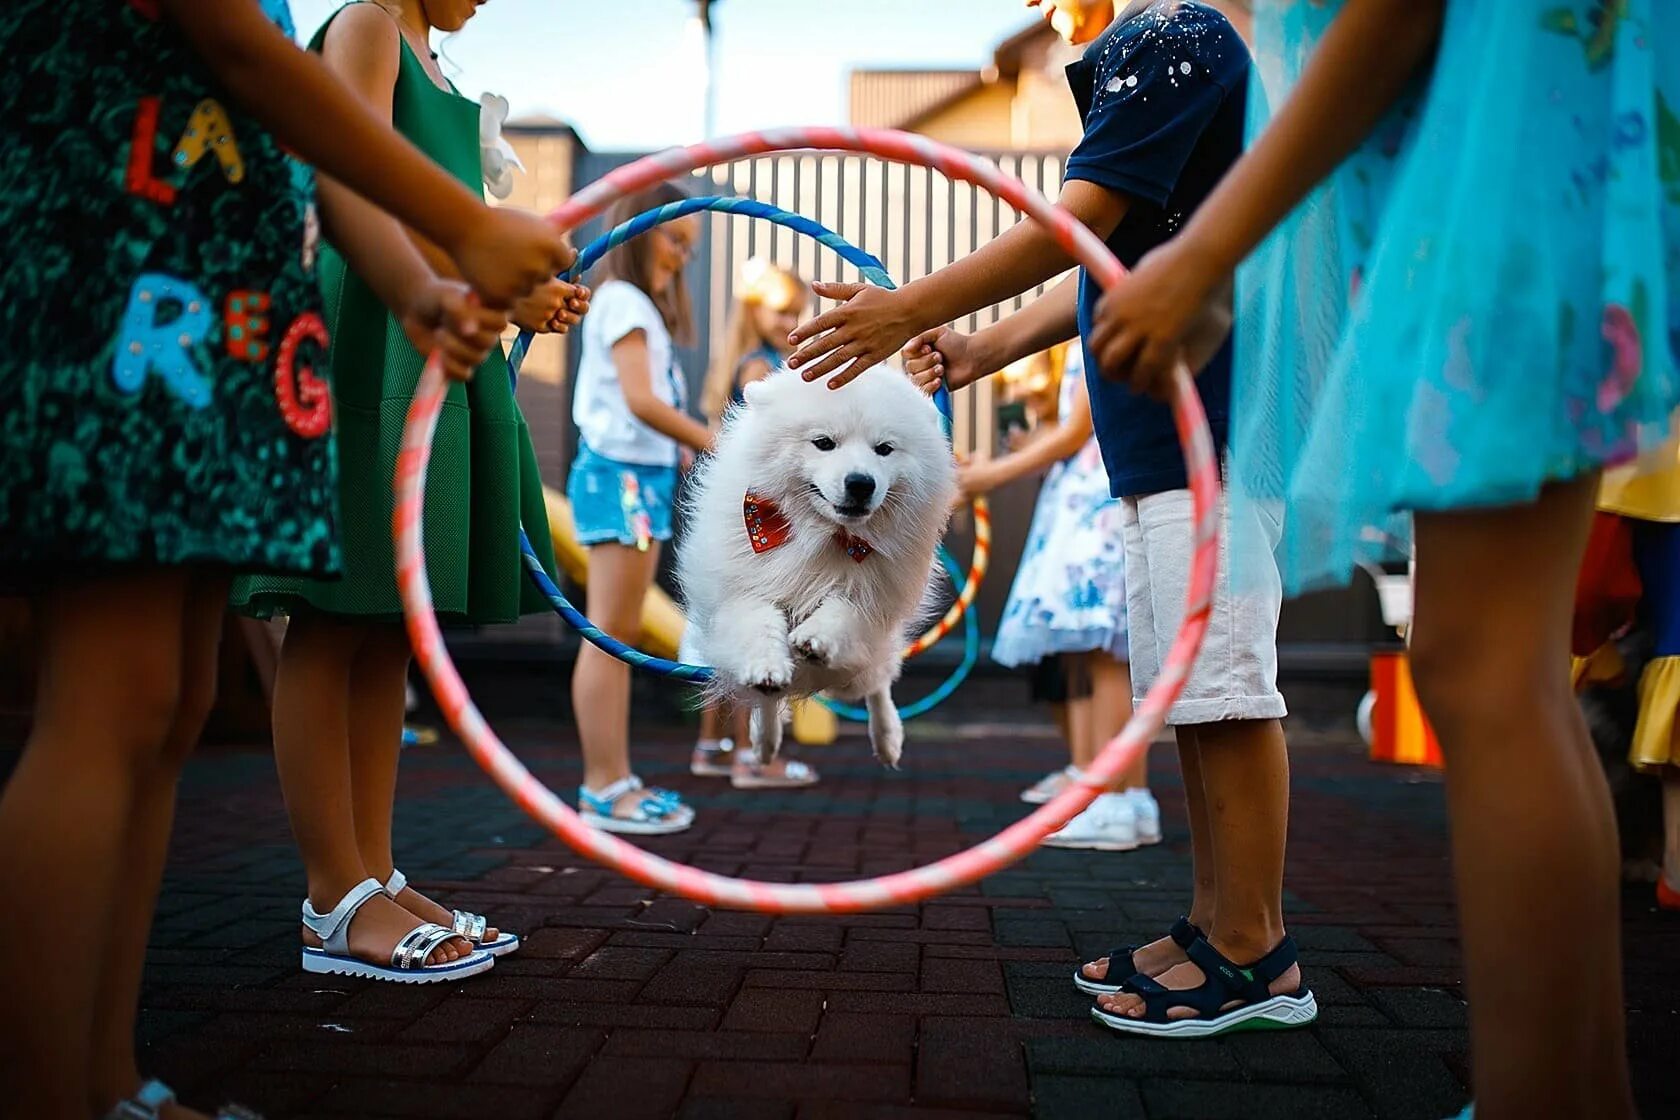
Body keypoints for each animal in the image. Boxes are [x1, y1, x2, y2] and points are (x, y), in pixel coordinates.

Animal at [672, 367, 960, 772]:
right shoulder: (743, 590)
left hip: (856, 668)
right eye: (823, 443)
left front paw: (815, 636)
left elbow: (841, 610)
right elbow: (759, 626)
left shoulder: (870, 598)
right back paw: (764, 740)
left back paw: (888, 739)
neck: (823, 534)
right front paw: (766, 666)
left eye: (884, 449)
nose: (861, 483)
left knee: (877, 684)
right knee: (770, 698)